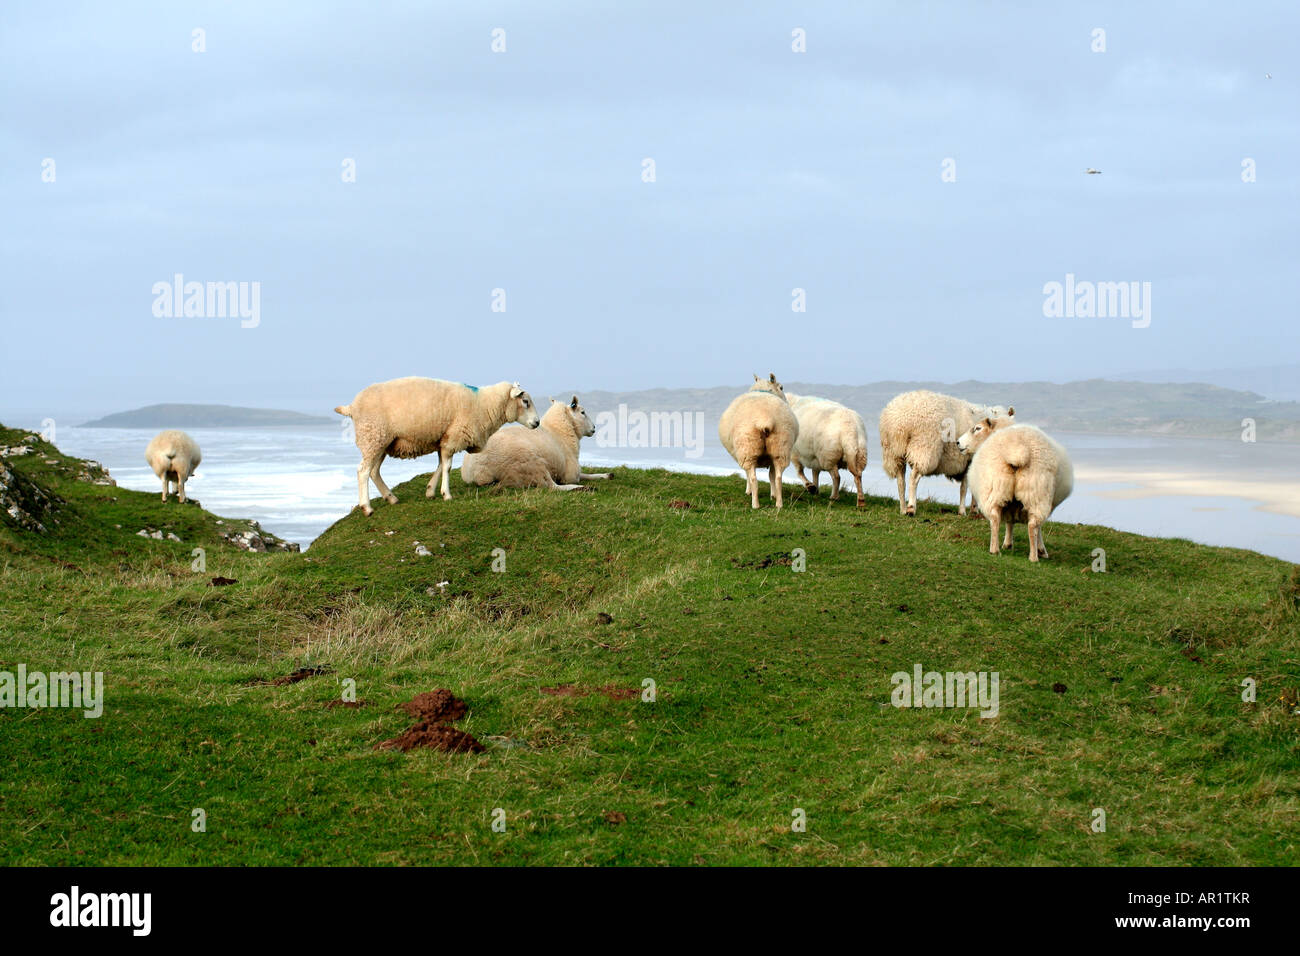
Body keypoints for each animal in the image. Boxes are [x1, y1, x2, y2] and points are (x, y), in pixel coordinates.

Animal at [335, 377, 540, 515]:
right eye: (525, 401)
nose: (537, 423)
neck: (482, 404)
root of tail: (352, 406)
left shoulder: (445, 439)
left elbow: (441, 465)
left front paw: (430, 491)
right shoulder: (454, 437)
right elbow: (447, 467)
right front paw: (446, 494)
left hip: (383, 442)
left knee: (373, 471)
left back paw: (391, 498)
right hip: (373, 436)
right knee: (363, 471)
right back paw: (367, 507)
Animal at [461, 395, 612, 491]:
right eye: (583, 412)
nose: (594, 428)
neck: (559, 431)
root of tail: (478, 472)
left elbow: (586, 474)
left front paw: (606, 475)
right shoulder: (569, 474)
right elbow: (579, 476)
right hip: (531, 463)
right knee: (552, 487)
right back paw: (583, 488)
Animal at [718, 373, 799, 509]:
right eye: (781, 387)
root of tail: (765, 419)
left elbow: (748, 475)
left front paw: (748, 491)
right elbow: (771, 476)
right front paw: (773, 495)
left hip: (748, 449)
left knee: (753, 478)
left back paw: (755, 504)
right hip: (780, 447)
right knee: (778, 477)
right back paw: (779, 504)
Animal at [878, 389, 1014, 517]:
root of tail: (900, 421)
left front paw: (973, 510)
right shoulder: (968, 460)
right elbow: (964, 487)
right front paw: (964, 511)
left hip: (894, 452)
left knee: (901, 482)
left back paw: (903, 509)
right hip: (924, 447)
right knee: (913, 478)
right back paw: (911, 508)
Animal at [958, 419, 1074, 562]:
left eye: (978, 428)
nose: (958, 442)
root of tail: (1017, 450)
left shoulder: (1010, 503)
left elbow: (1009, 521)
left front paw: (1007, 544)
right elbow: (1036, 526)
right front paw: (1040, 550)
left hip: (996, 487)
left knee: (995, 518)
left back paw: (995, 550)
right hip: (1037, 492)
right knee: (1033, 525)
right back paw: (1033, 557)